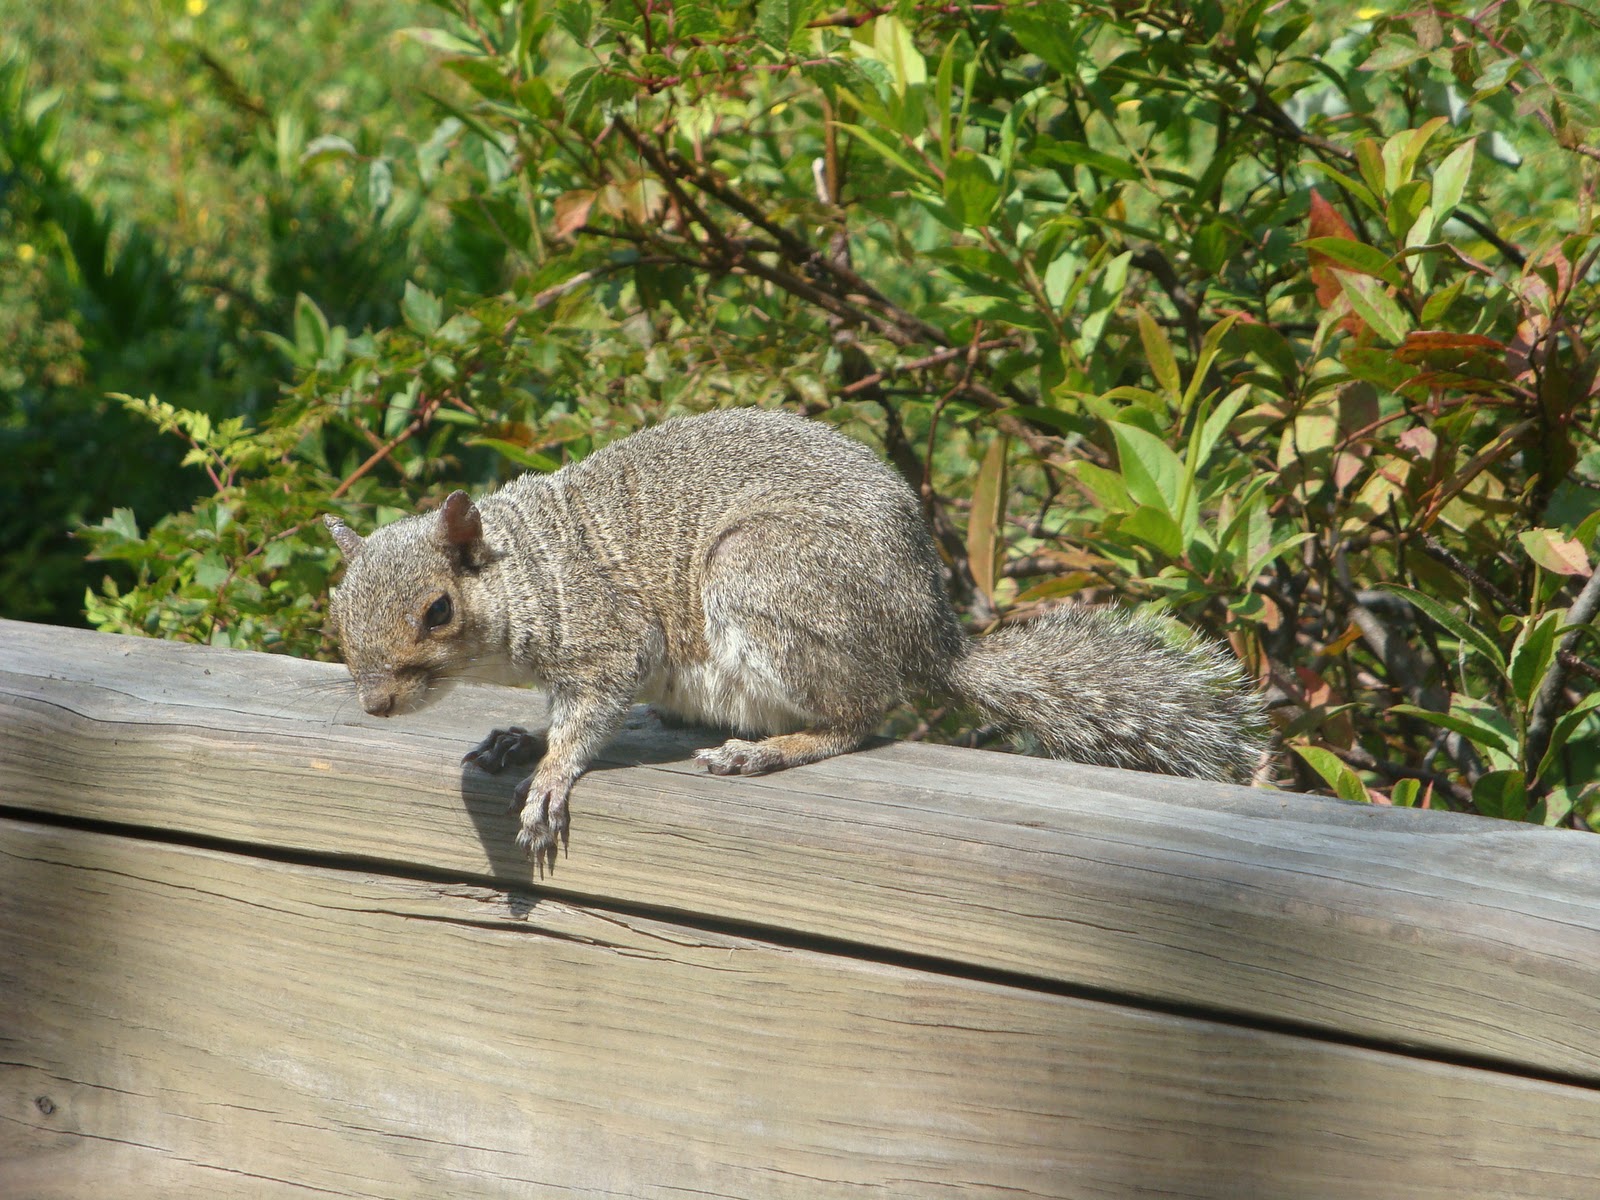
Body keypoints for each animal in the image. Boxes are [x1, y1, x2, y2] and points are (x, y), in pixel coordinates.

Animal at [324, 408, 1266, 870]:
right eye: (337, 611)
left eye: (437, 611)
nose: (375, 704)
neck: (529, 566)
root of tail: (928, 639)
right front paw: (520, 737)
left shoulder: (609, 631)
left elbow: (593, 708)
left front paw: (552, 773)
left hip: (769, 583)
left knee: (861, 714)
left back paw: (768, 751)